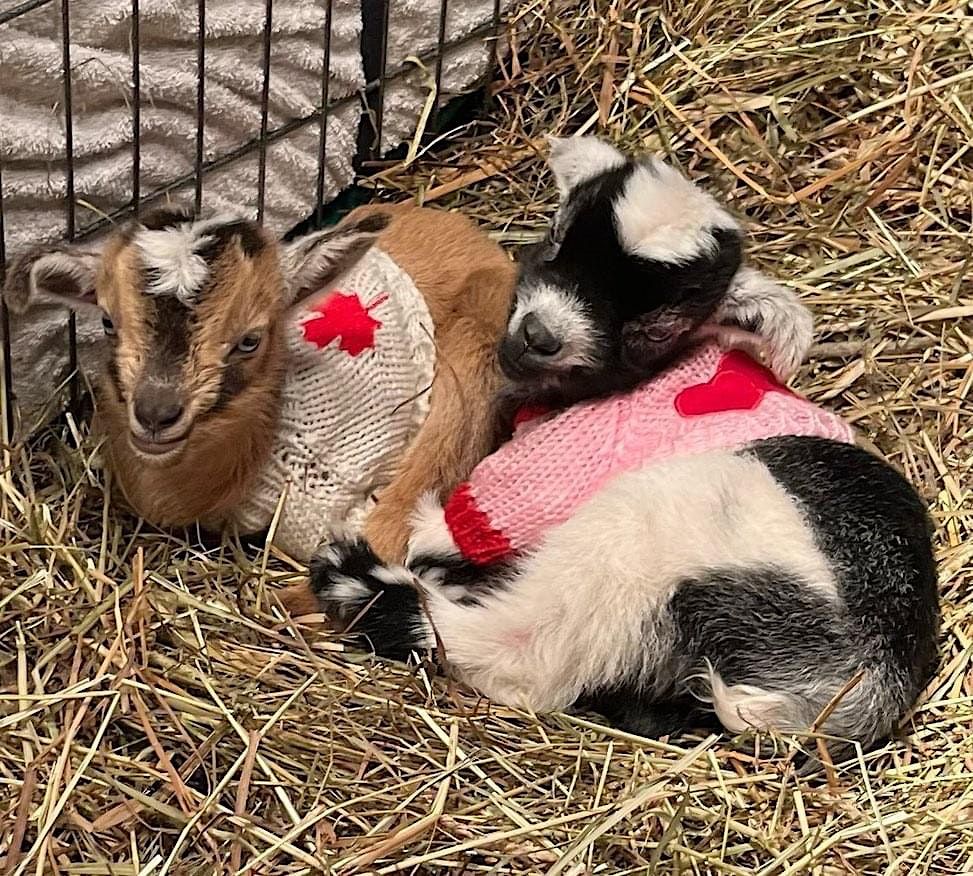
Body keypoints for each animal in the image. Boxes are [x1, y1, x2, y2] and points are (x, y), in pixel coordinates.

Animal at [307, 137, 940, 759]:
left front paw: (428, 531)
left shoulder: (575, 448)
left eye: (658, 323)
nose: (538, 335)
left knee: (528, 650)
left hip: (647, 536)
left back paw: (359, 583)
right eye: (557, 236)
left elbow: (500, 500)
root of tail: (861, 679)